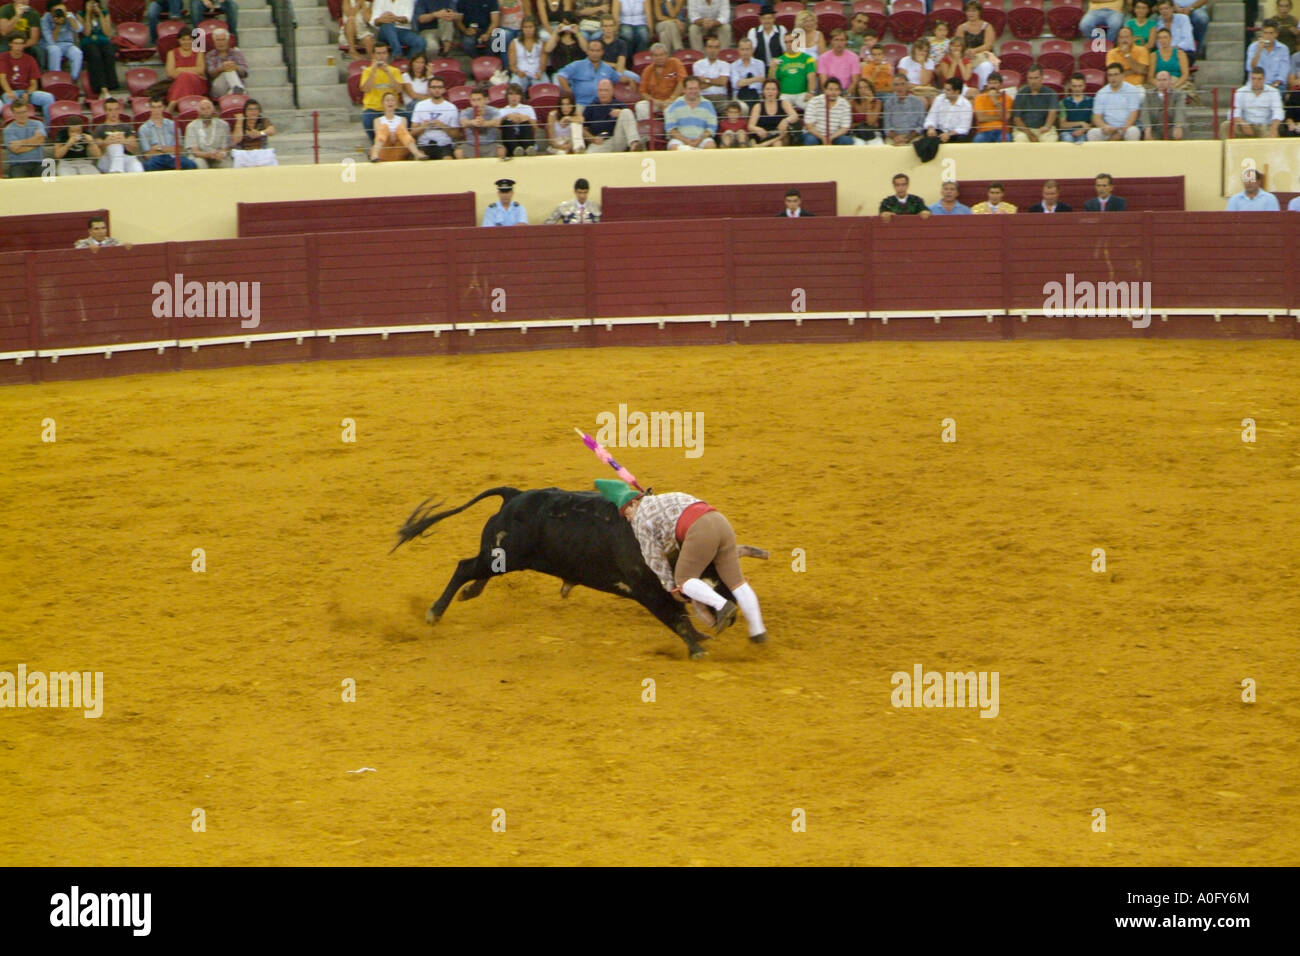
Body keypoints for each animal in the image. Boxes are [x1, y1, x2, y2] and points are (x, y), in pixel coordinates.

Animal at [391, 486, 768, 659]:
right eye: (714, 584)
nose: (730, 613)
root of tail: (513, 495)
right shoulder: (647, 590)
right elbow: (675, 617)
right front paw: (697, 647)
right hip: (503, 556)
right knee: (464, 567)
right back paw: (434, 612)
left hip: (503, 558)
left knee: (474, 570)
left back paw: (470, 593)